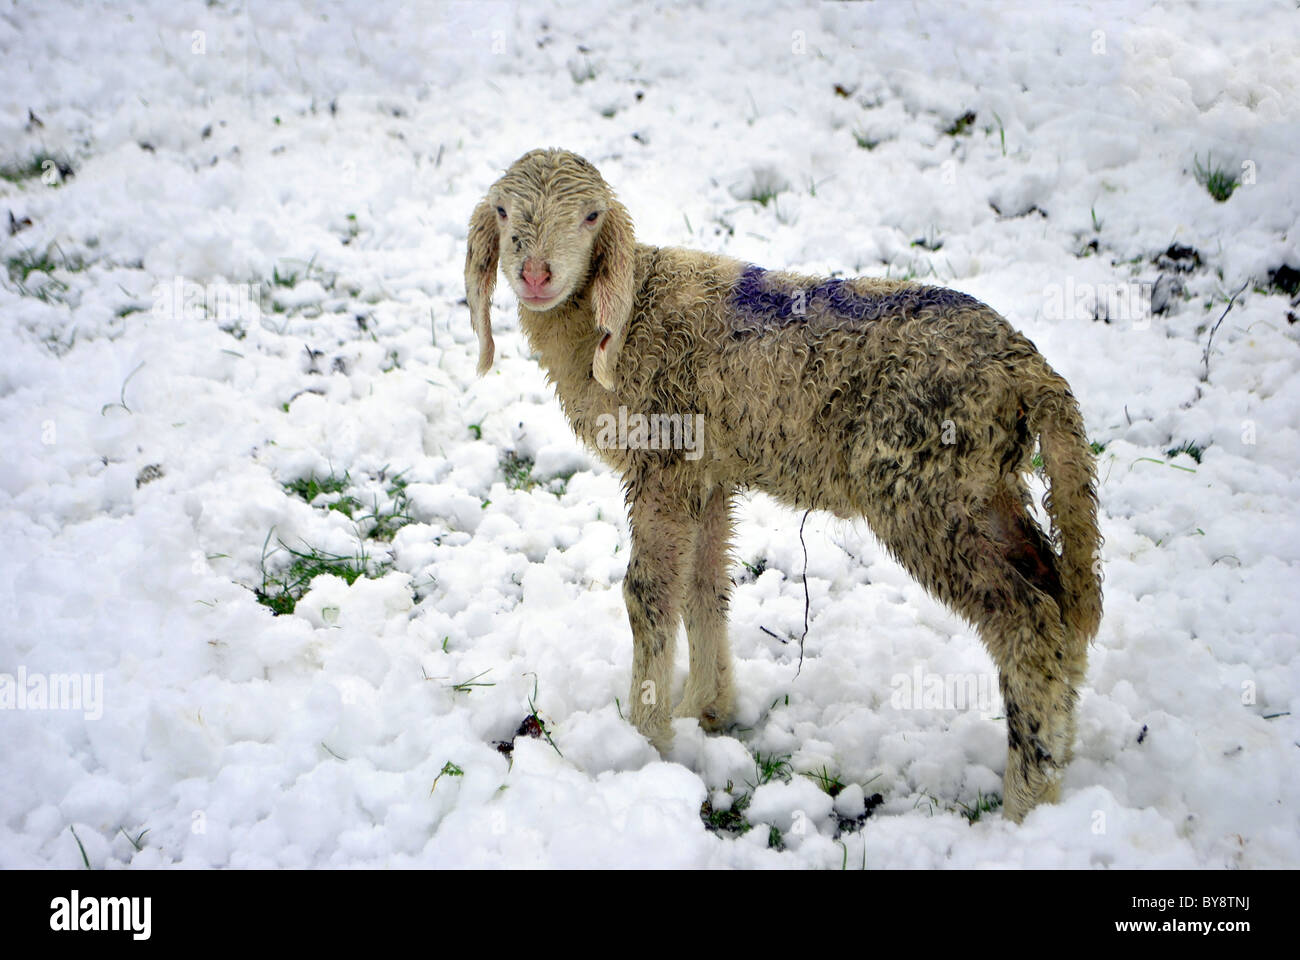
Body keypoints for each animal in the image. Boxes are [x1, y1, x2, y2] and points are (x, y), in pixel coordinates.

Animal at [464, 147, 1102, 823]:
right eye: (502, 211)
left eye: (590, 217)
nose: (535, 274)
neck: (625, 316)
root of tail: (1028, 368)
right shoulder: (708, 473)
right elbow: (703, 587)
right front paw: (706, 710)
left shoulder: (664, 461)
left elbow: (648, 595)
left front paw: (645, 742)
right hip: (984, 487)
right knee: (1060, 599)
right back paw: (1057, 757)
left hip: (920, 486)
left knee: (1028, 623)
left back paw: (1026, 804)